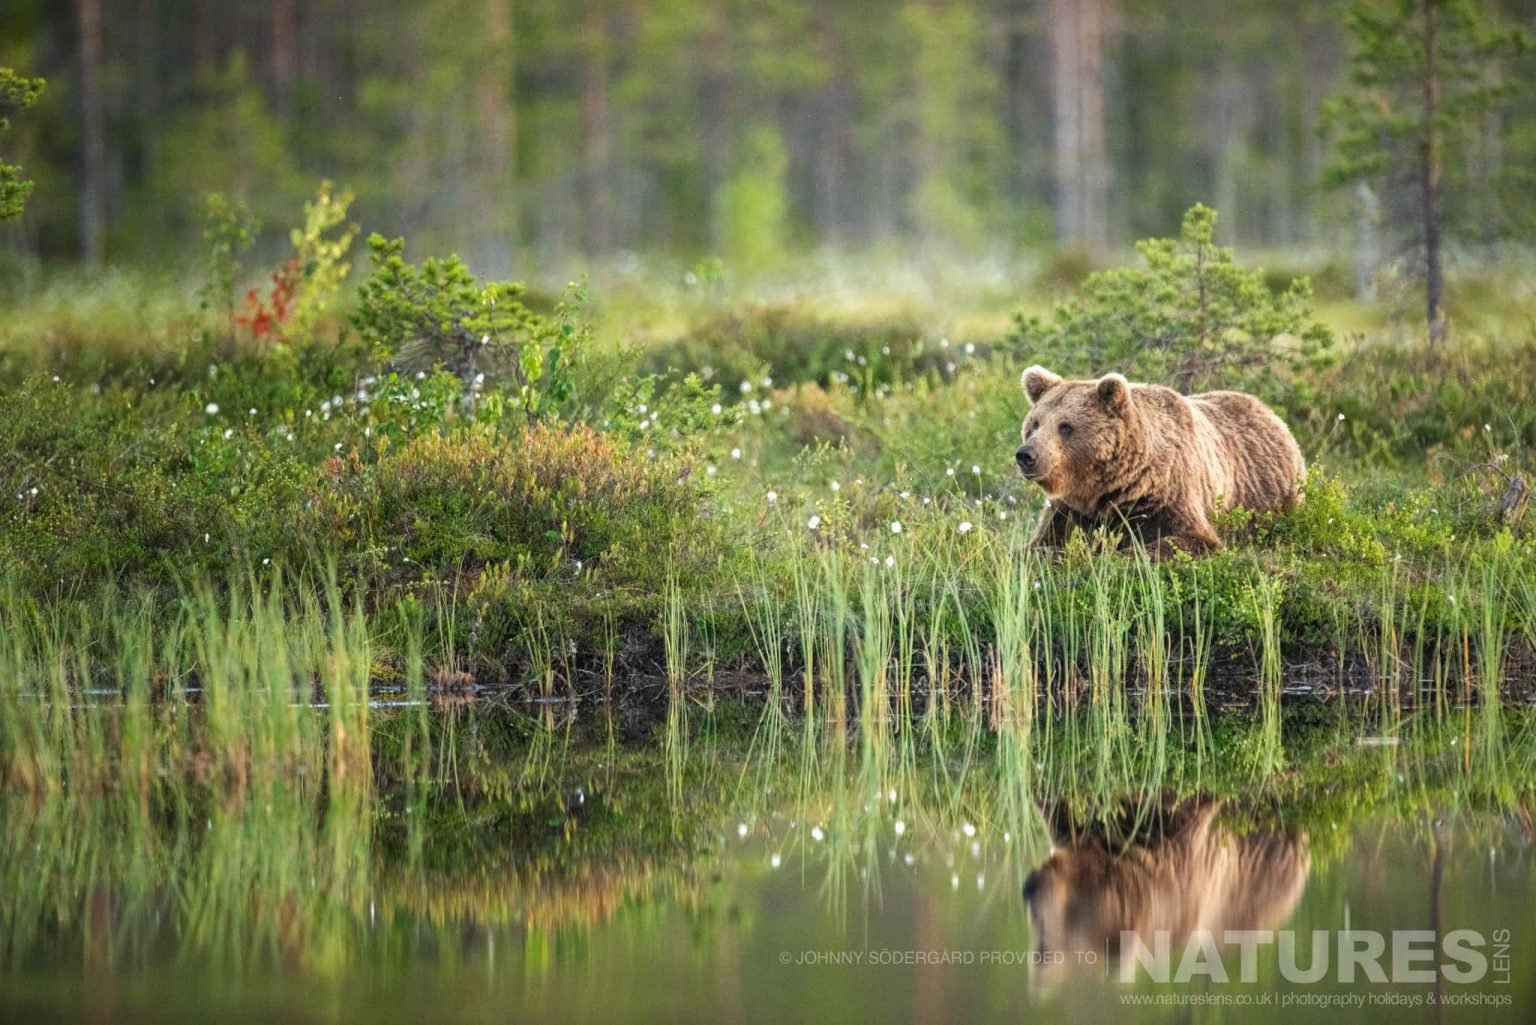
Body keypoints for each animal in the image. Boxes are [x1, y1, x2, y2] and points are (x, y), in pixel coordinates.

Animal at [1016, 366, 1305, 556]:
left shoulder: (1167, 496)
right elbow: (1041, 542)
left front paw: (1121, 553)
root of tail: (1271, 413)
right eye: (1035, 423)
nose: (1026, 455)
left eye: (1066, 427)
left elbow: (1190, 539)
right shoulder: (1070, 509)